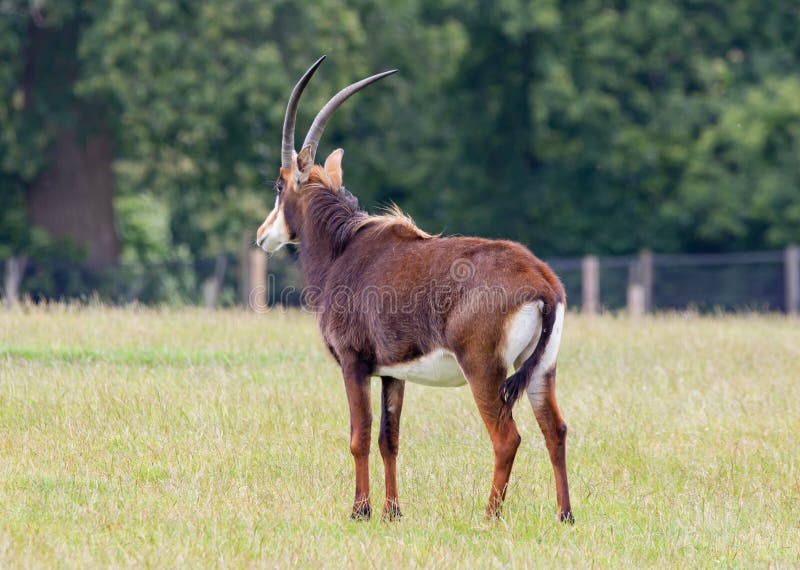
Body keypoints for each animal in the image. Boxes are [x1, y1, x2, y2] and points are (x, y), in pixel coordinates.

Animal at [256, 56, 573, 523]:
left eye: (279, 186)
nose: (263, 236)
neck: (343, 248)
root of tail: (542, 281)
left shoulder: (354, 363)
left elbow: (360, 436)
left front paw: (361, 511)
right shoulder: (392, 372)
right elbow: (390, 439)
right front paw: (393, 512)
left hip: (484, 369)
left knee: (507, 437)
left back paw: (489, 516)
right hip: (541, 368)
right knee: (555, 429)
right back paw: (565, 516)